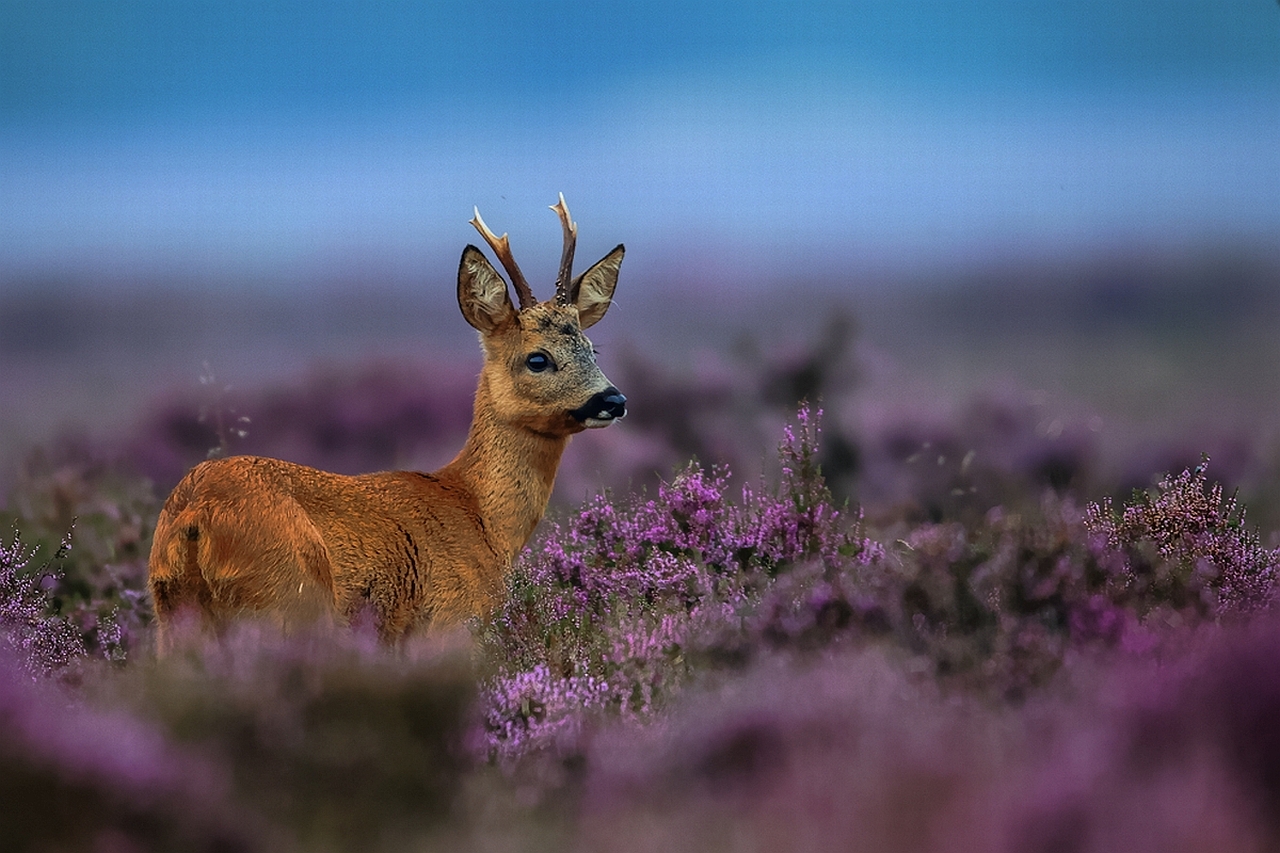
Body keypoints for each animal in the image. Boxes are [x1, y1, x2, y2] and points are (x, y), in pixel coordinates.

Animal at [147, 195, 626, 648]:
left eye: (593, 350)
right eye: (538, 358)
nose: (613, 399)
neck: (481, 516)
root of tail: (195, 515)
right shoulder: (452, 618)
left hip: (173, 612)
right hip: (287, 600)